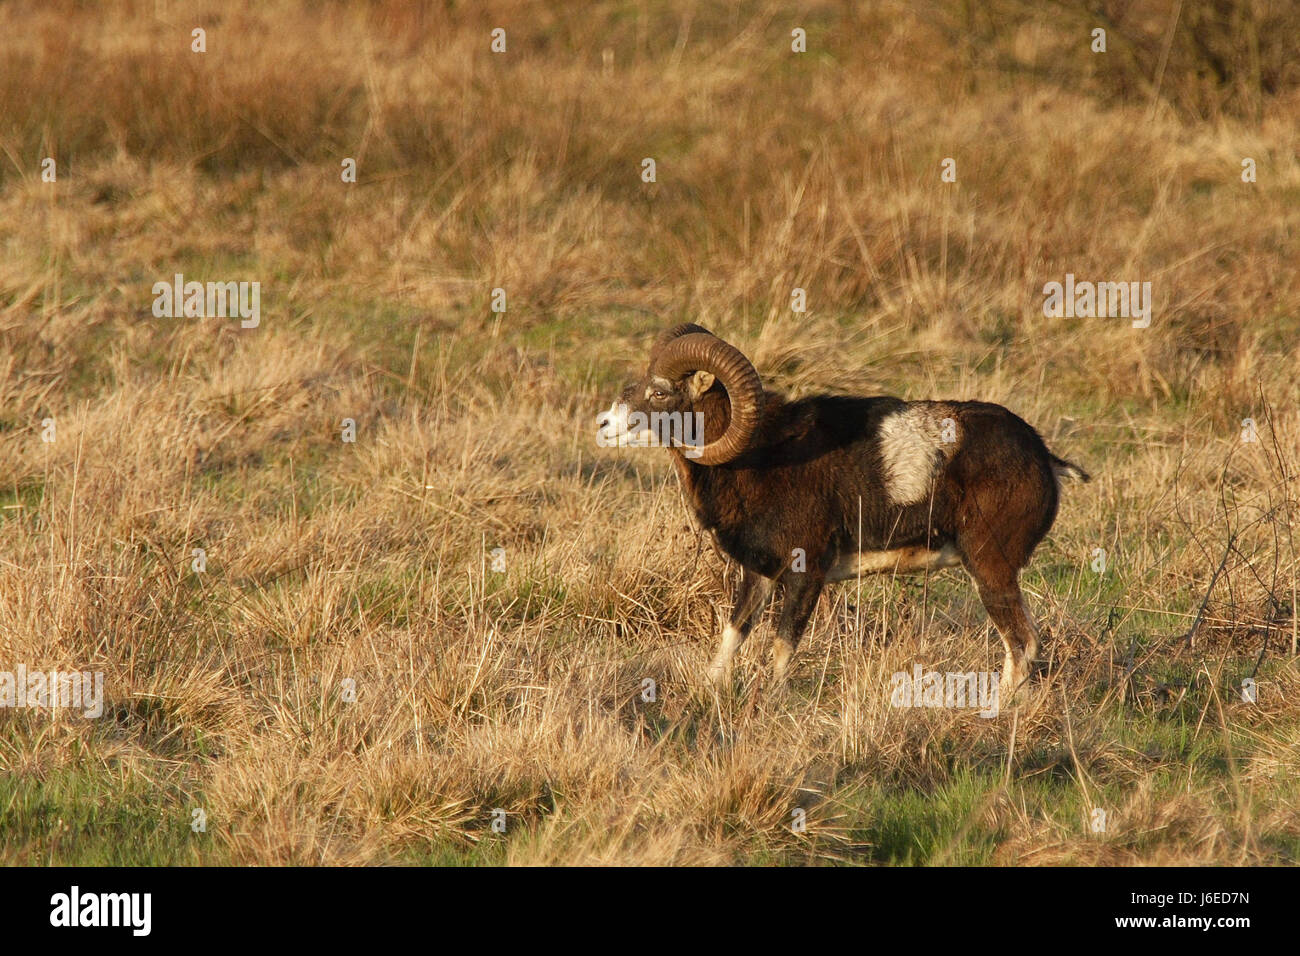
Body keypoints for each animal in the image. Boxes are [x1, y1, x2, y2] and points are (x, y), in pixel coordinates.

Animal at [596, 324, 1090, 694]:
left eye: (661, 393)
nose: (603, 424)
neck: (759, 459)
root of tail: (1044, 459)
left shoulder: (806, 574)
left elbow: (782, 649)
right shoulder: (758, 574)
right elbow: (732, 637)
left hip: (991, 570)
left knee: (1022, 646)